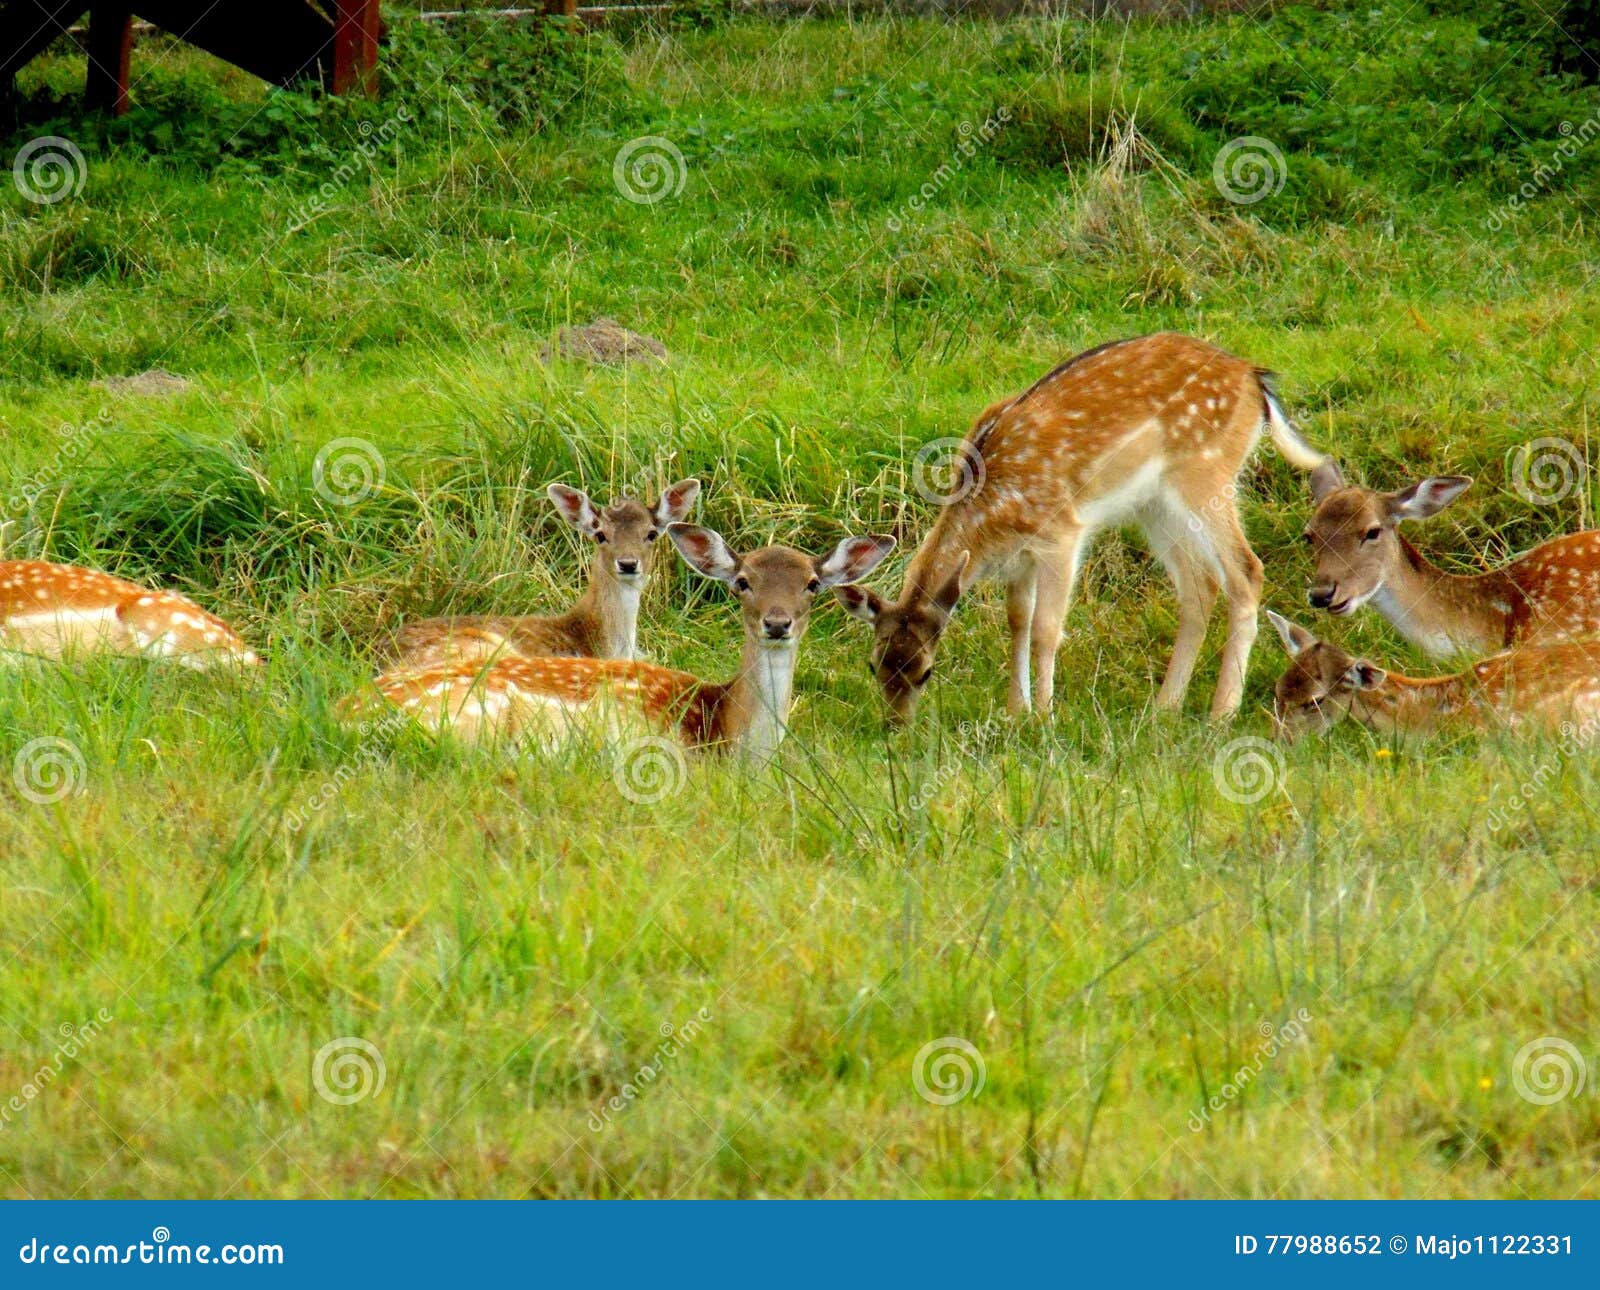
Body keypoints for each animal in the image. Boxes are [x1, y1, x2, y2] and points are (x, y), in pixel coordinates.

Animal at [834, 332, 1326, 725]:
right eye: (874, 664)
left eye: (926, 672)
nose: (895, 725)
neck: (990, 518)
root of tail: (1253, 378)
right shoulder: (1020, 559)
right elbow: (1017, 622)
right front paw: (1016, 710)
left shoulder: (1061, 534)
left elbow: (1046, 629)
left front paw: (1044, 717)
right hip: (1154, 505)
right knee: (1200, 585)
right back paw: (1163, 708)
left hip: (1206, 474)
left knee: (1246, 570)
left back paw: (1221, 714)